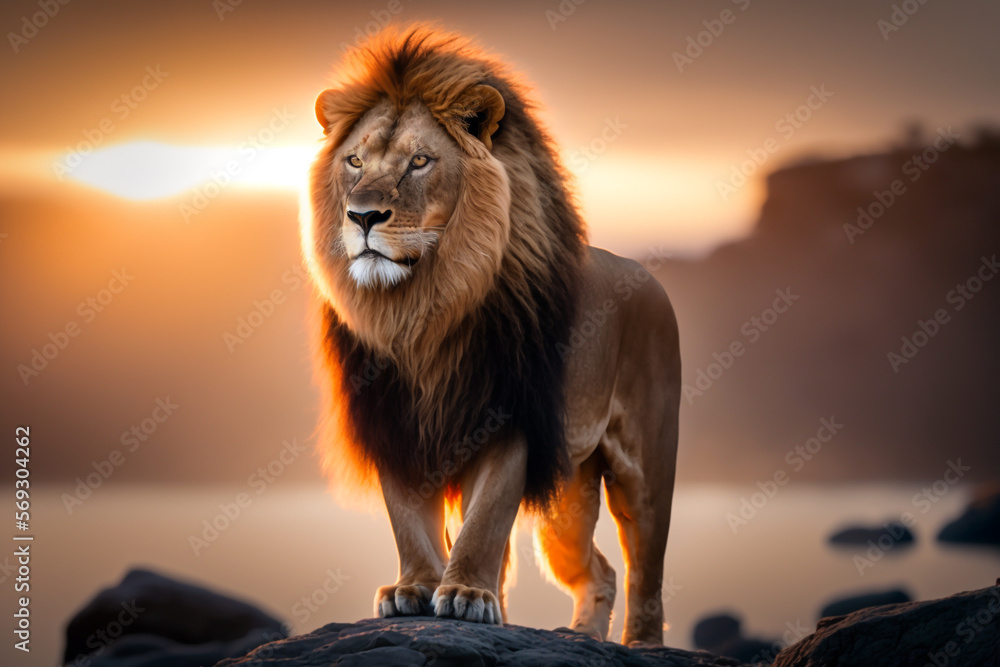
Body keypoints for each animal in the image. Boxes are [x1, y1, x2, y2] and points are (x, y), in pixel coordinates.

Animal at [301, 26, 680, 646]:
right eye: (354, 160)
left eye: (420, 162)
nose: (362, 217)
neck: (420, 311)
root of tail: (644, 274)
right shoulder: (393, 421)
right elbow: (409, 520)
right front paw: (417, 588)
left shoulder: (510, 418)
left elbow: (486, 521)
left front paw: (466, 595)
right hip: (568, 491)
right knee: (597, 570)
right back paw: (578, 637)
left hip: (644, 466)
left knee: (644, 564)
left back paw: (642, 645)